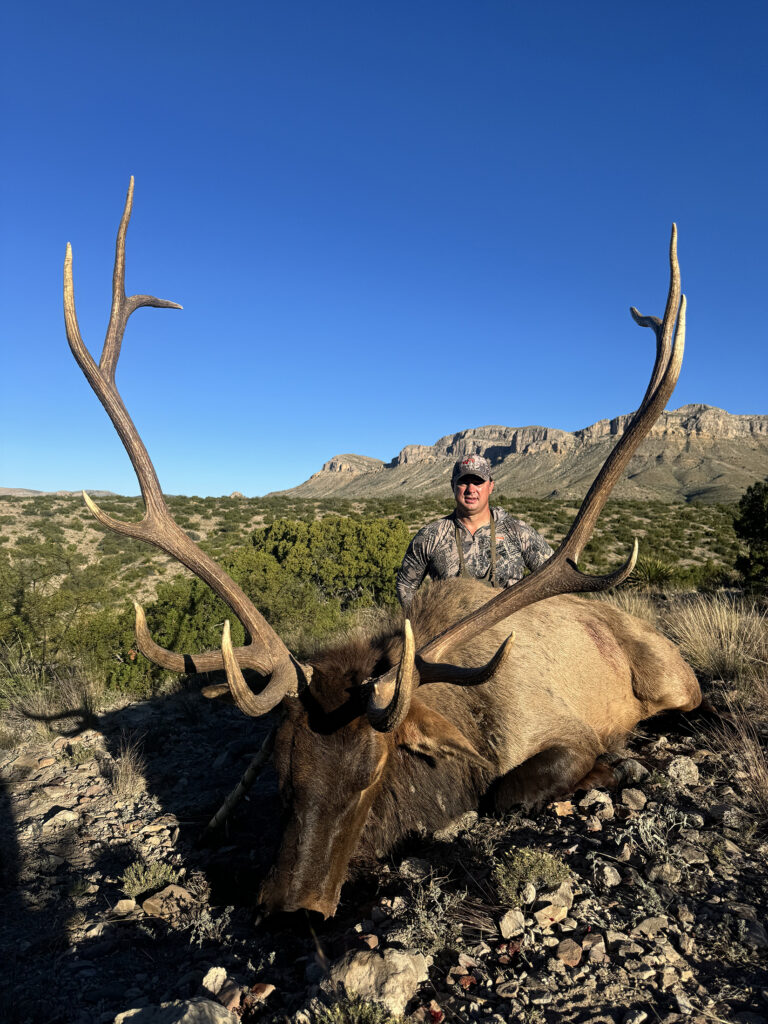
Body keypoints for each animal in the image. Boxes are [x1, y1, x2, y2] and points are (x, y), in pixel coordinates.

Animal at [64, 179, 701, 919]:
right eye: (281, 771)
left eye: (373, 770)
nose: (292, 906)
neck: (467, 718)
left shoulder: (561, 731)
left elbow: (509, 790)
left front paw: (615, 763)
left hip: (671, 676)